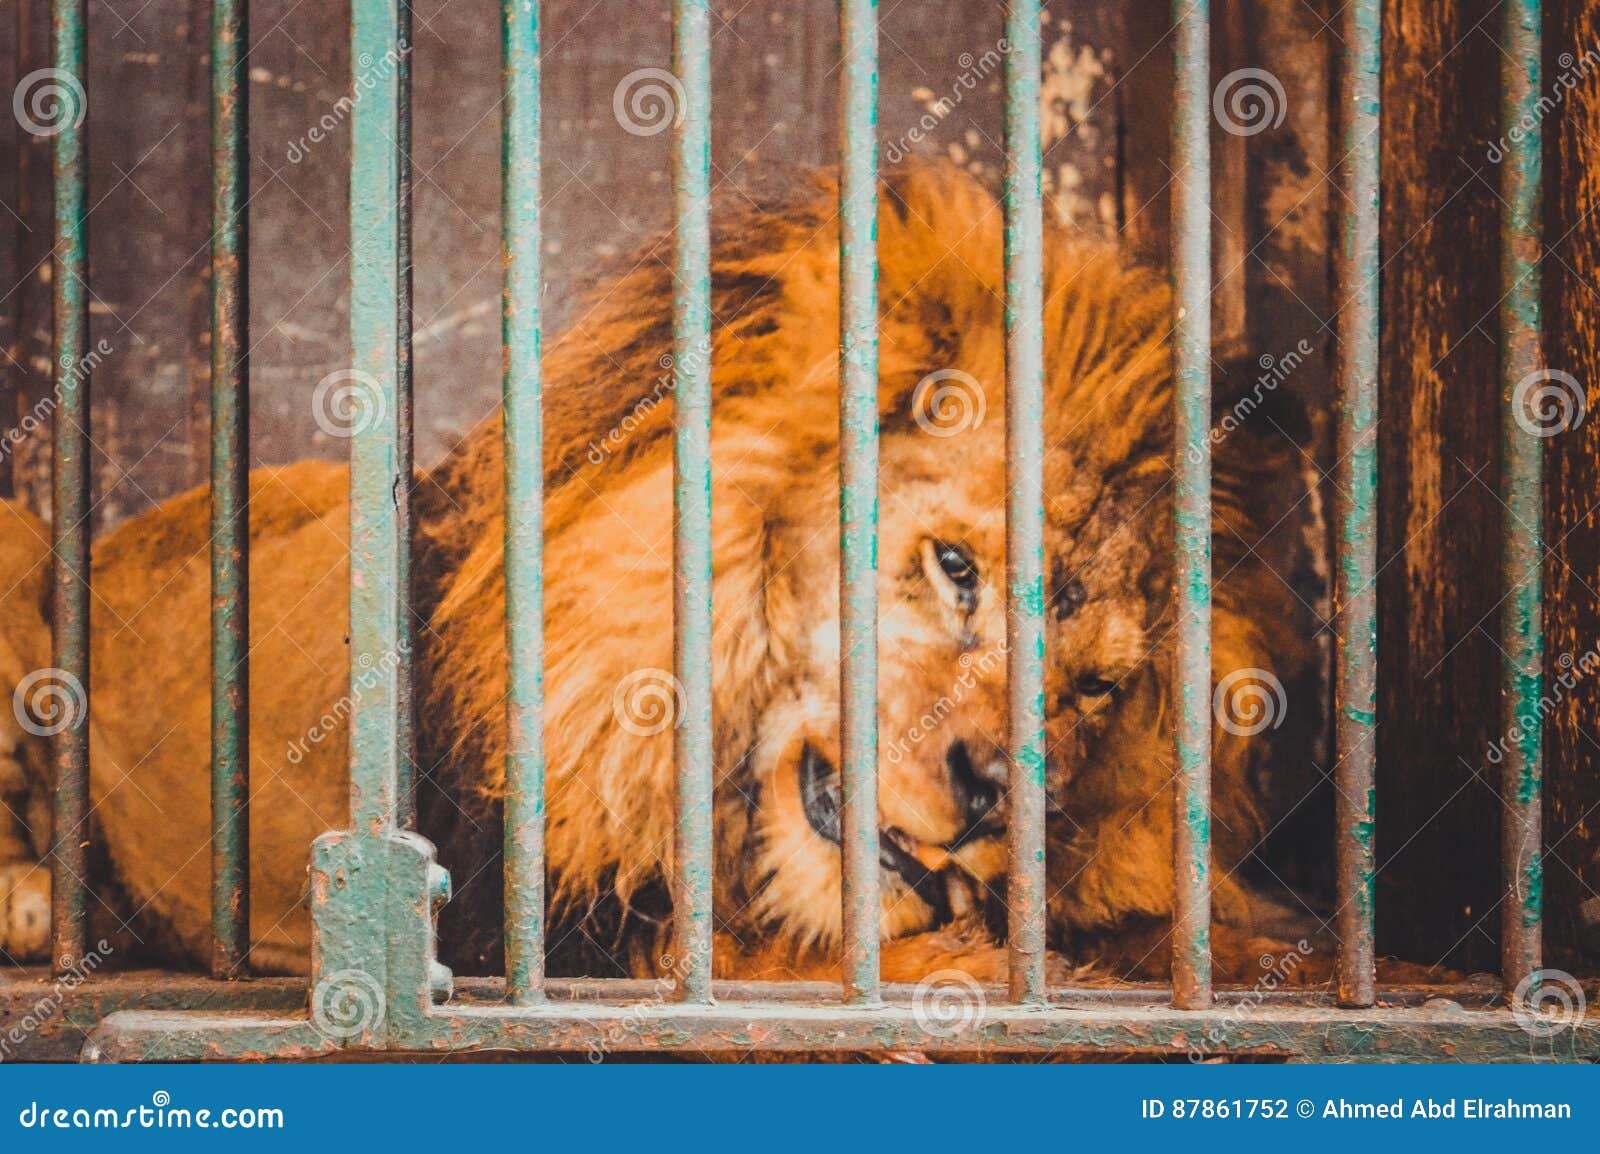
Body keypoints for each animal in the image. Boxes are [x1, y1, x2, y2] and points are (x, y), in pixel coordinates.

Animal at [0, 164, 1325, 987]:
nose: (1001, 791)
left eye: (1097, 690)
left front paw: (1250, 948)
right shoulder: (540, 916)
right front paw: (989, 964)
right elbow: (782, 956)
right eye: (955, 565)